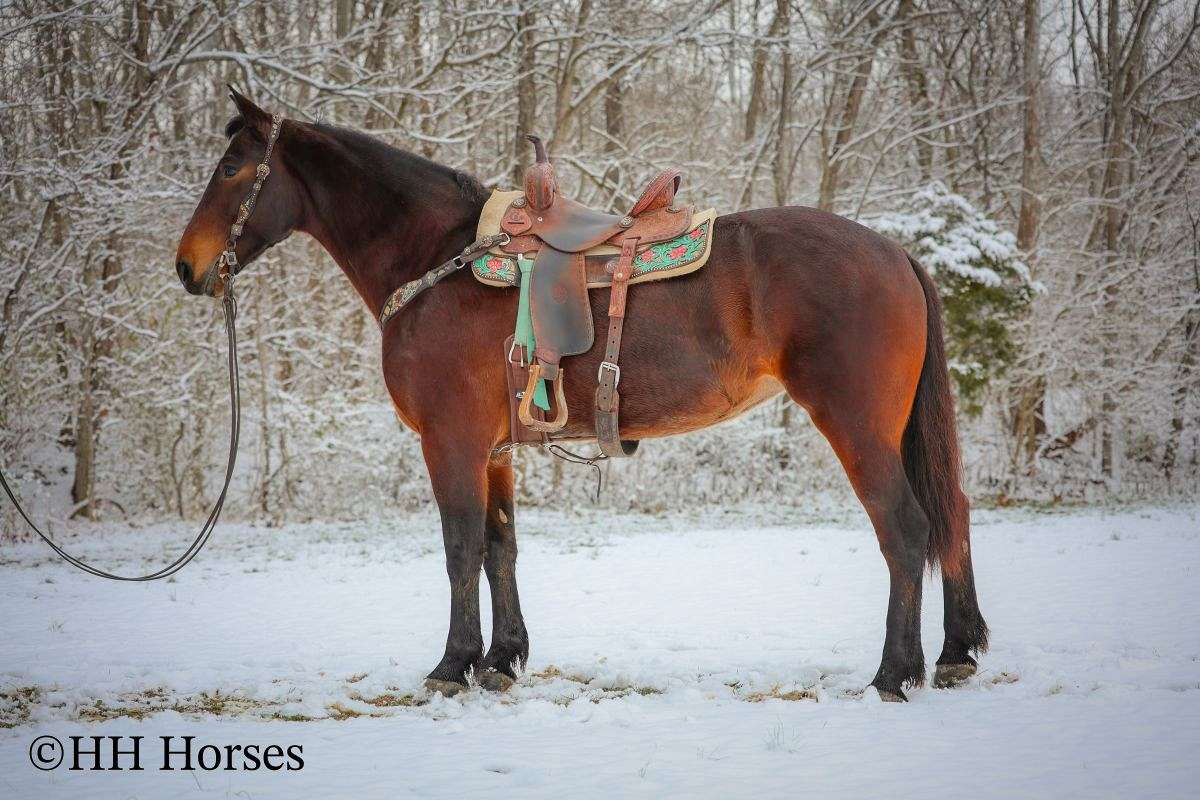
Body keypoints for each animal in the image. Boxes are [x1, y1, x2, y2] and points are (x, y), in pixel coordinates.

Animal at [175, 89, 988, 702]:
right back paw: (954, 653)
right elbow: (499, 548)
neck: (438, 259)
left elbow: (459, 547)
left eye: (230, 167)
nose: (187, 267)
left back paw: (893, 673)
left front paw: (452, 665)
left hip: (857, 427)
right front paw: (501, 660)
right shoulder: (494, 450)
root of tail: (893, 251)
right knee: (950, 516)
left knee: (906, 529)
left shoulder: (451, 442)